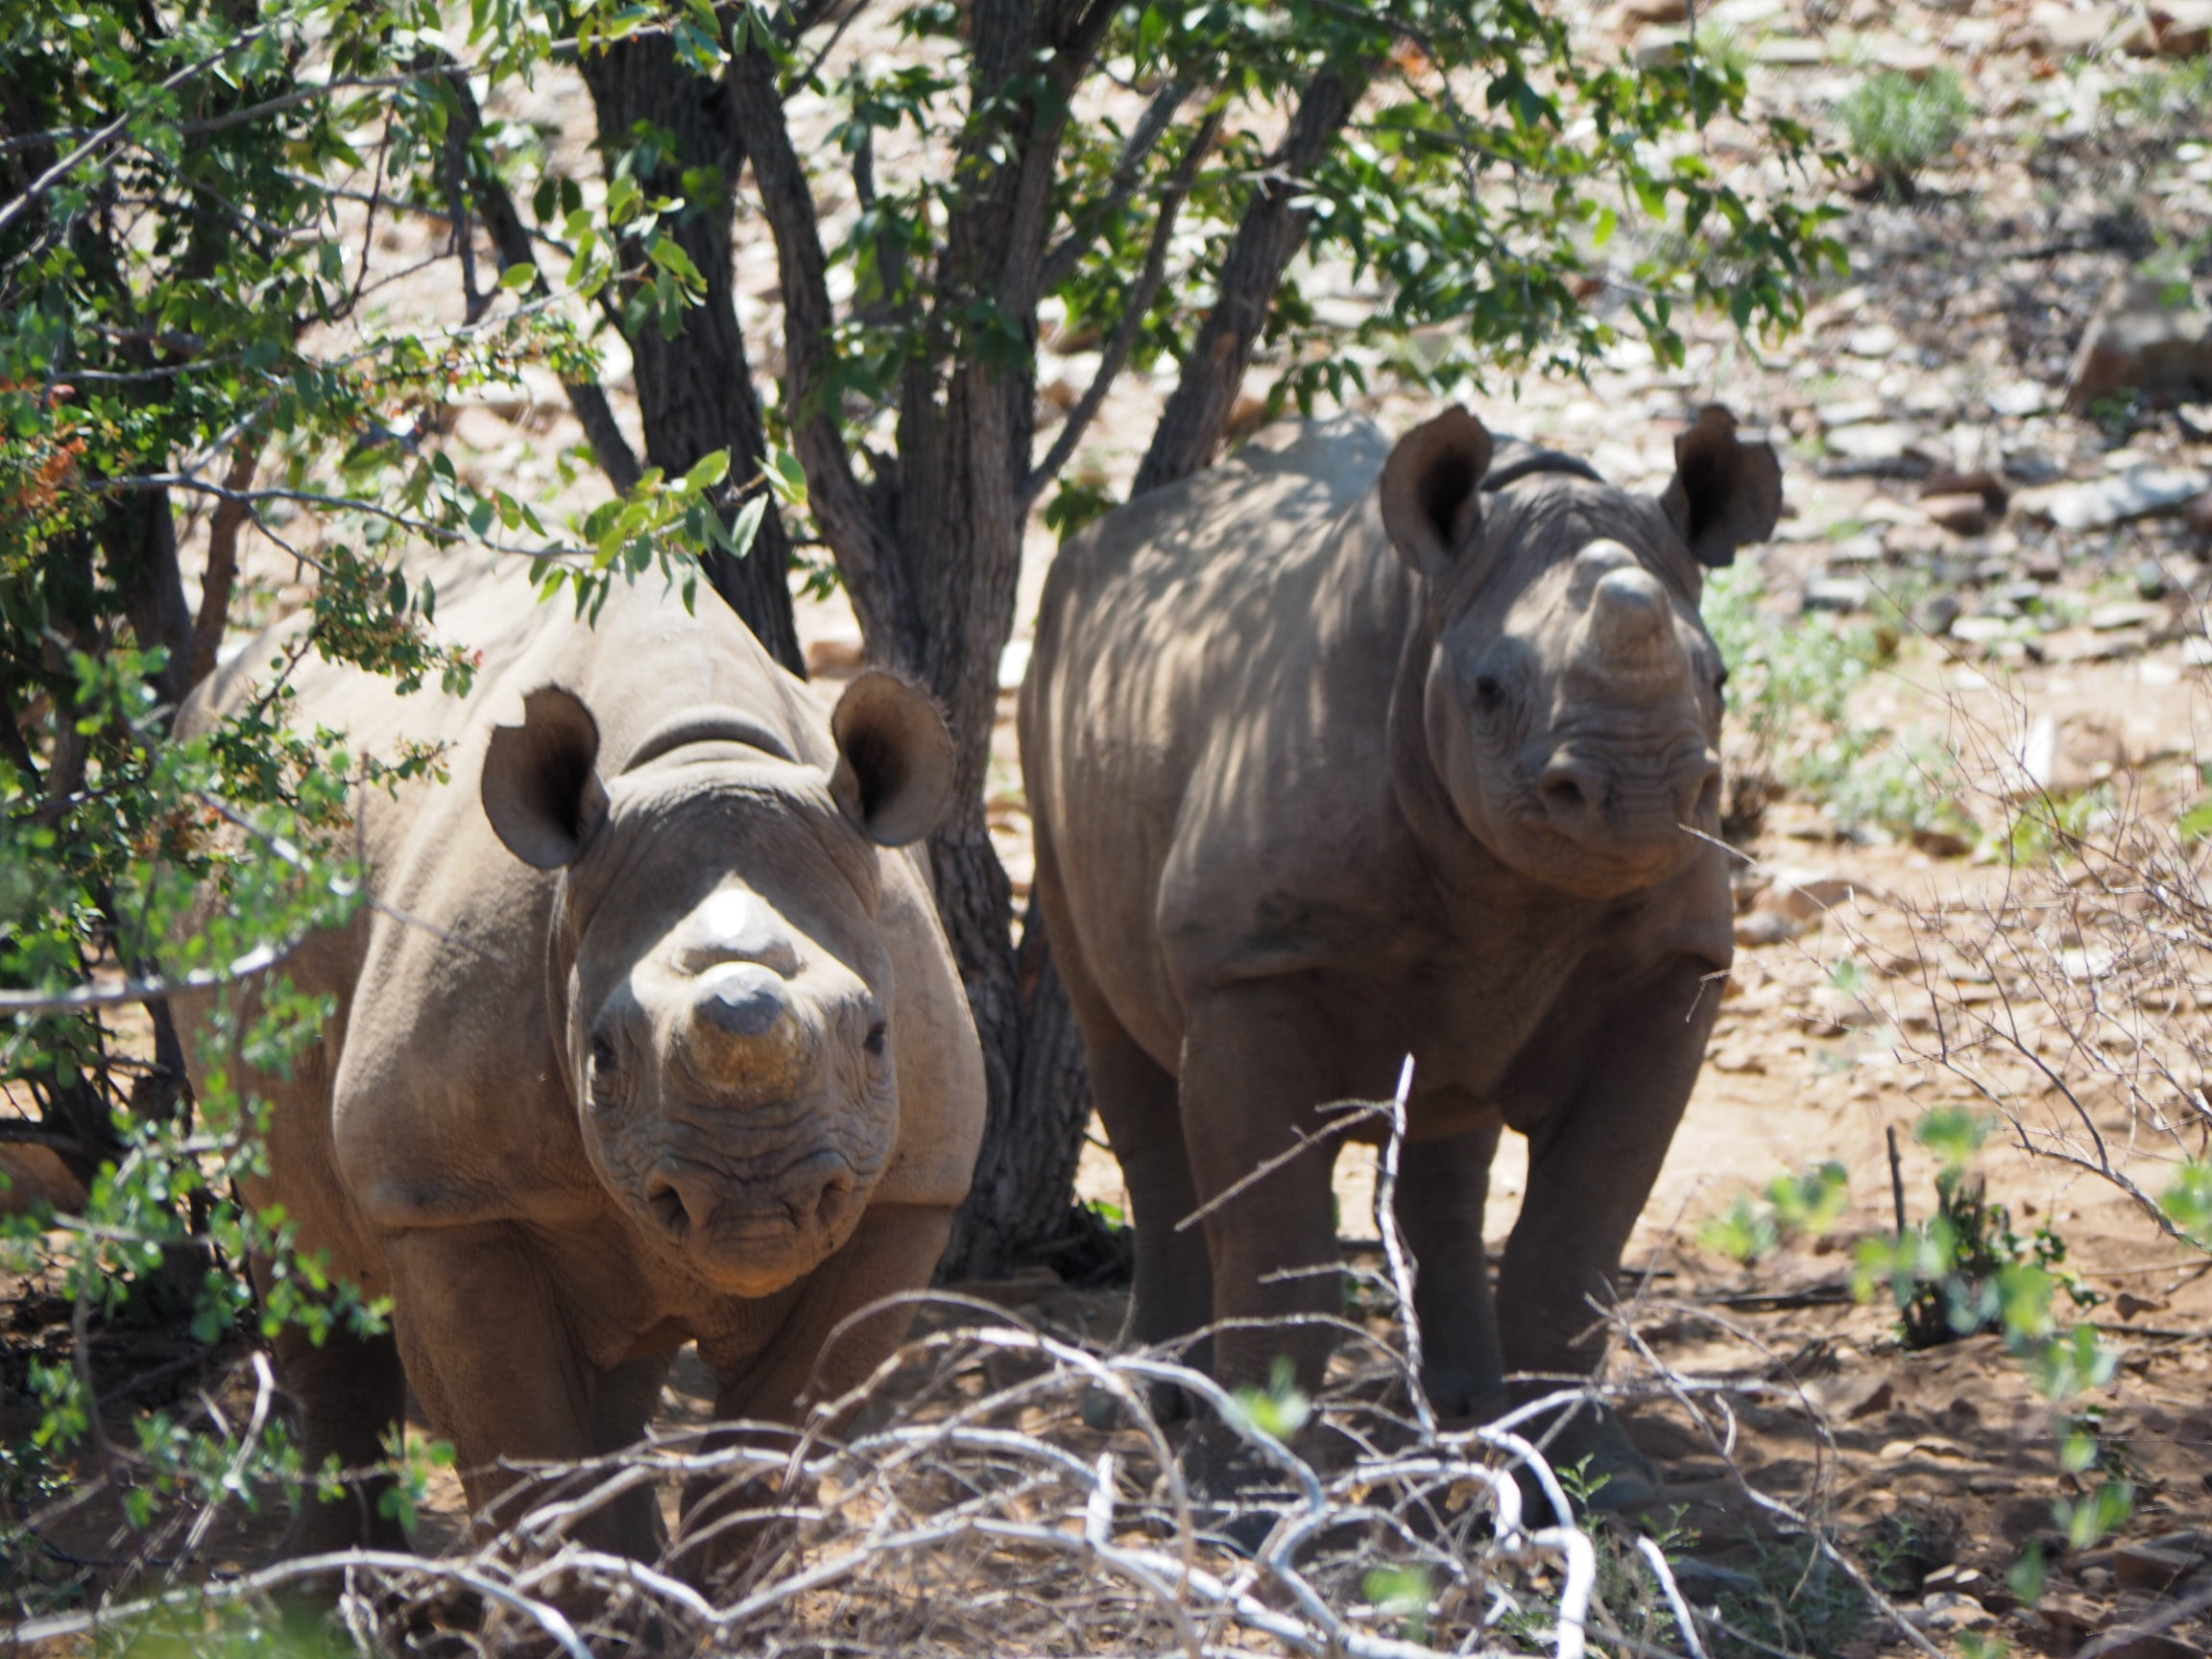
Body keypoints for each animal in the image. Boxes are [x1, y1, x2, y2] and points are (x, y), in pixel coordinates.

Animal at [178, 556, 986, 1557]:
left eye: (878, 1039)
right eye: (601, 1057)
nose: (760, 1203)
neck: (701, 760)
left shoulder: (910, 1190)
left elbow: (763, 1464)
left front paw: (694, 1591)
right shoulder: (445, 1198)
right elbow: (528, 1459)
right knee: (302, 1247)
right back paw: (324, 1588)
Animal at [1020, 406, 1779, 1501]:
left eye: (1718, 680)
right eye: (1488, 689)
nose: (1638, 796)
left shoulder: (1672, 968)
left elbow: (1576, 1244)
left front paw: (1601, 1485)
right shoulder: (1252, 962)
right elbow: (1276, 1242)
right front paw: (1242, 1496)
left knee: (1451, 1111)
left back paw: (1465, 1411)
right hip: (1048, 688)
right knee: (1124, 1066)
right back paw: (1144, 1402)